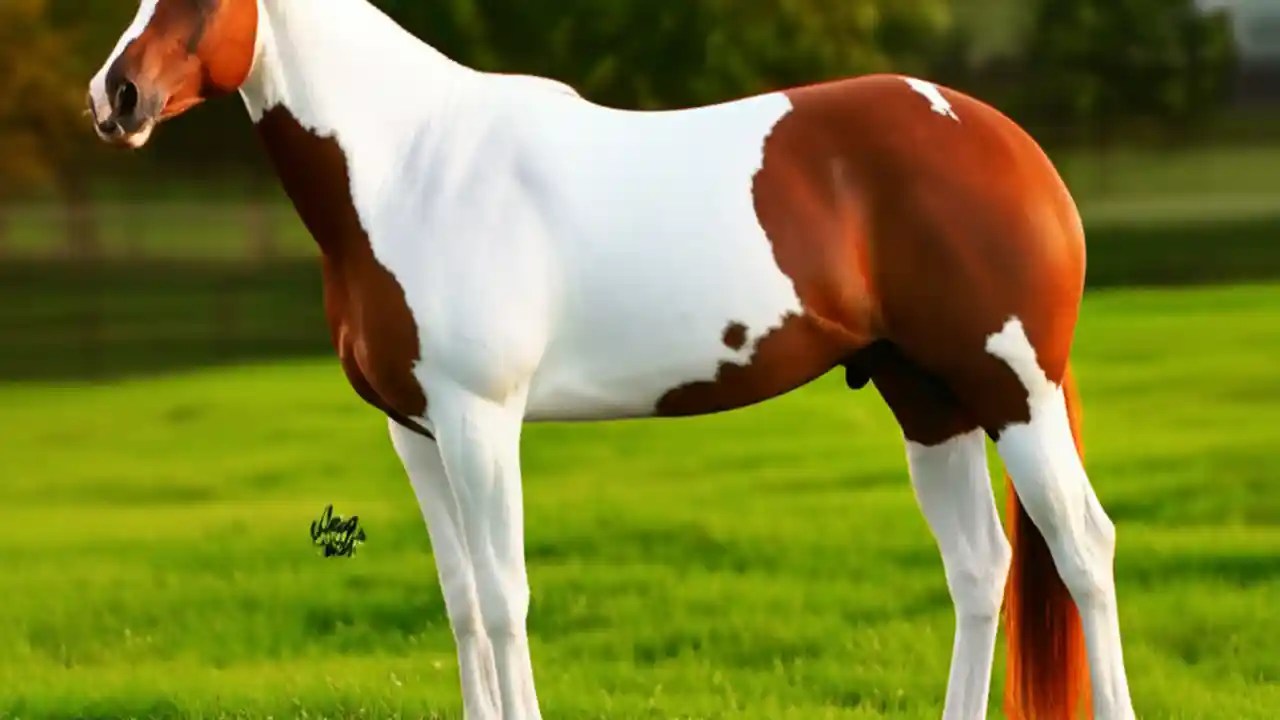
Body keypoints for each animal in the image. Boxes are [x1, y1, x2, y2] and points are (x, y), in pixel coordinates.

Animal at [87, 1, 1136, 718]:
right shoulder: (415, 434)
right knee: (980, 566)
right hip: (930, 403)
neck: (412, 164)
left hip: (1014, 392)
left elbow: (505, 597)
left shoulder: (480, 420)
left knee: (1083, 549)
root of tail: (1013, 146)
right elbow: (462, 603)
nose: (114, 97)